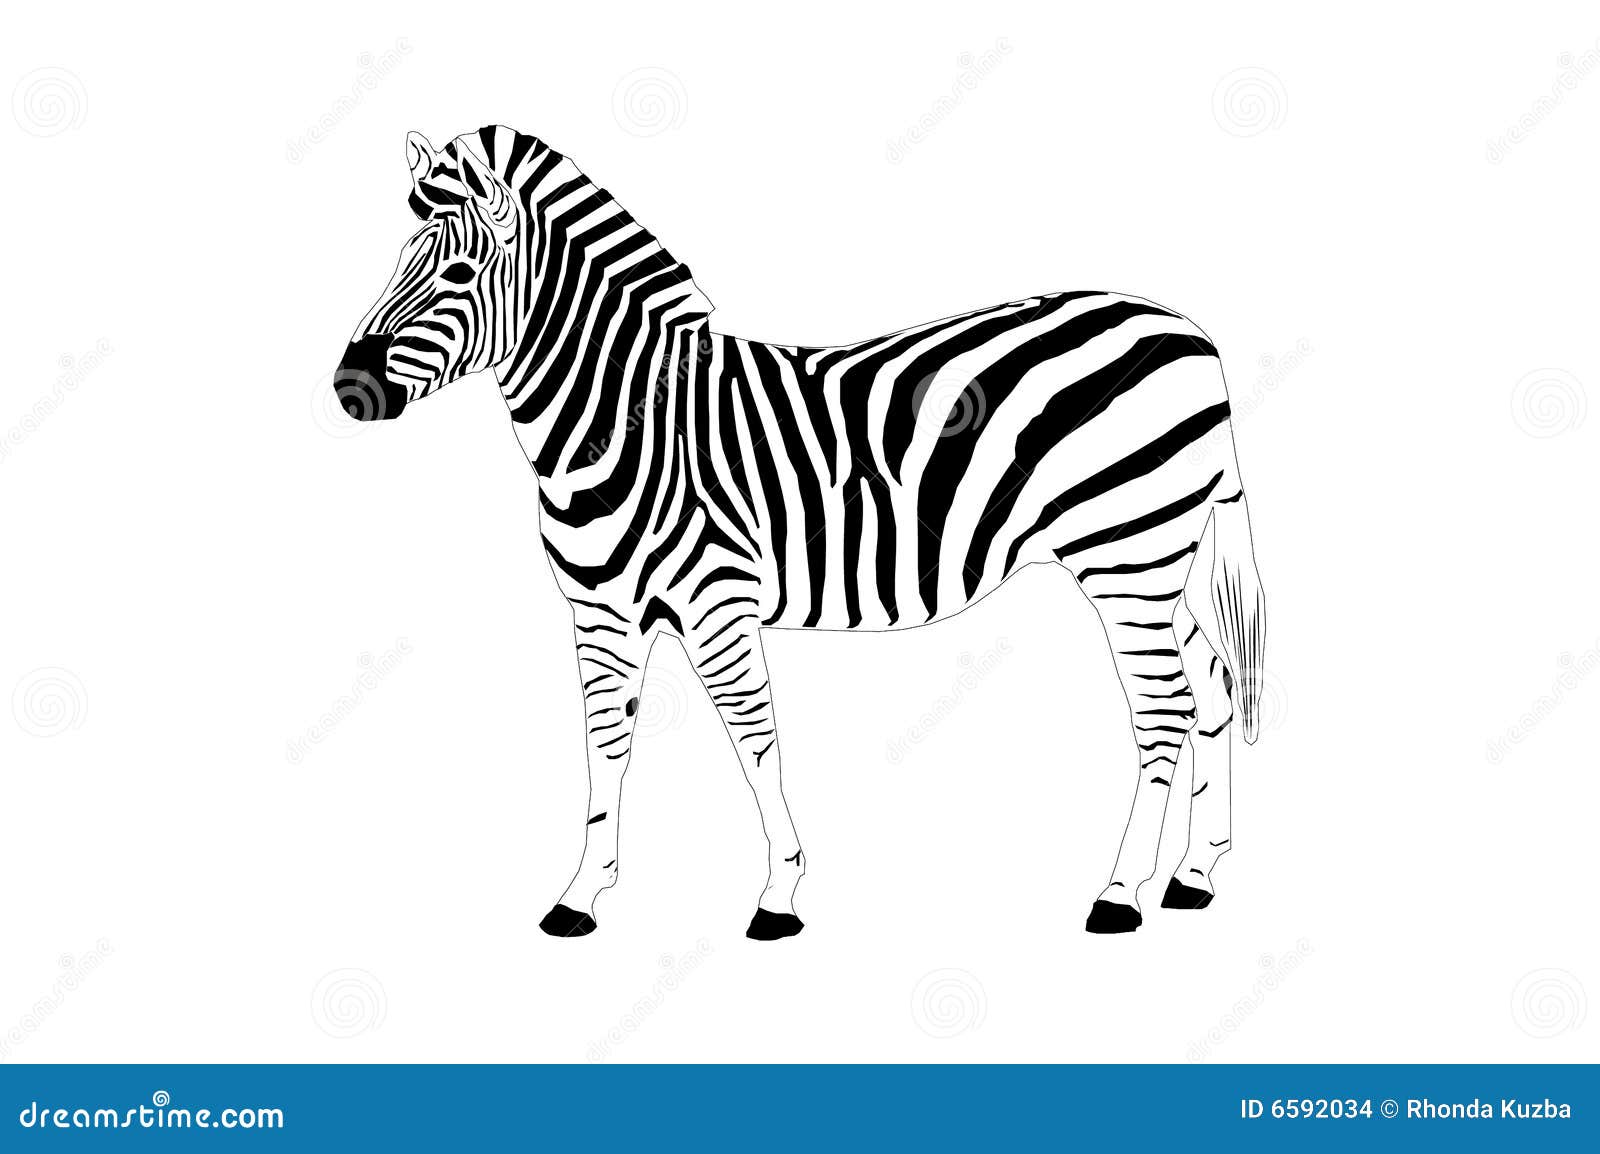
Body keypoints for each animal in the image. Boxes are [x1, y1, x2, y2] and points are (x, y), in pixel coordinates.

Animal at [334, 125, 1267, 939]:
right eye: (398, 260)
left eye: (458, 271)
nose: (349, 386)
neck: (623, 418)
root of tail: (1191, 332)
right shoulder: (600, 613)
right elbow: (606, 743)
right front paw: (579, 895)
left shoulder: (716, 602)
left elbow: (754, 737)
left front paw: (778, 895)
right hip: (1165, 556)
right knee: (1214, 687)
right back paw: (1194, 876)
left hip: (1126, 556)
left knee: (1166, 708)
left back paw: (1119, 894)